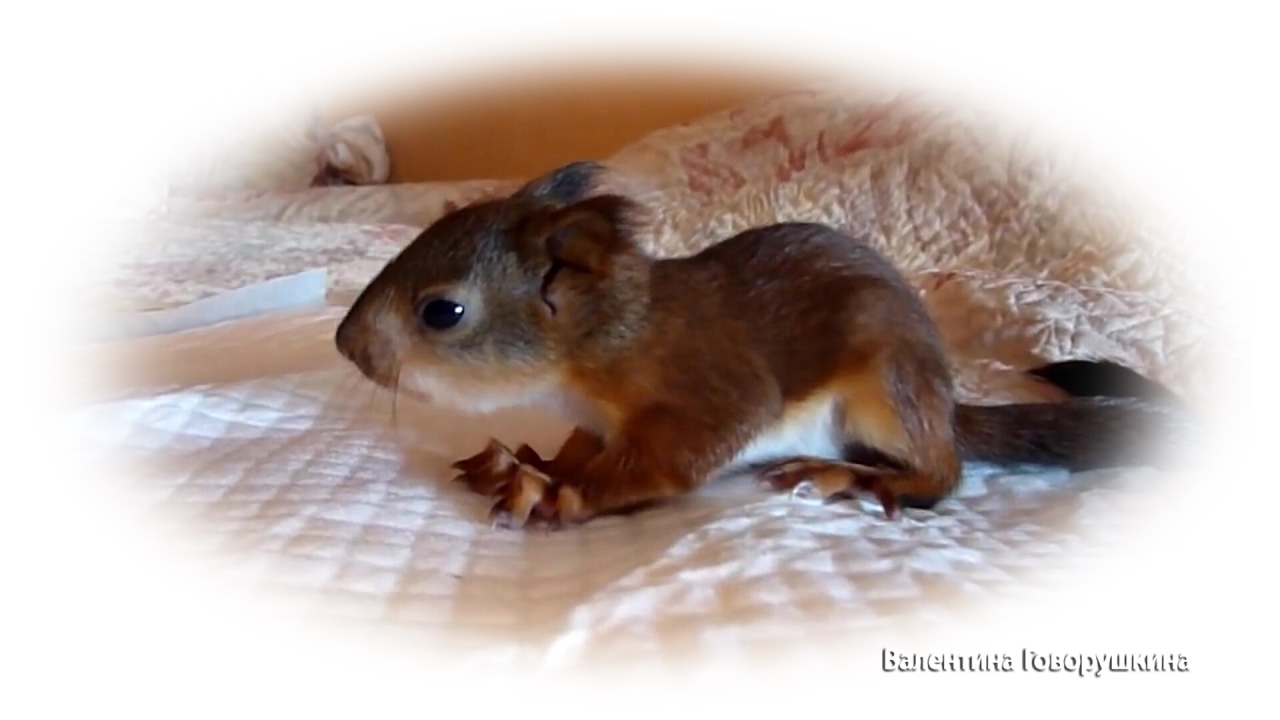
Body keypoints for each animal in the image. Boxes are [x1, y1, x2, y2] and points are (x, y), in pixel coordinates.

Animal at [334, 161, 1192, 529]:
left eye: (442, 312)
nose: (345, 344)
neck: (602, 342)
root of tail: (946, 400)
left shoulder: (706, 387)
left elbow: (671, 461)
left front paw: (567, 495)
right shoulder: (594, 419)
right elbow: (583, 446)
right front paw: (542, 464)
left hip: (886, 390)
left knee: (942, 474)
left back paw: (858, 476)